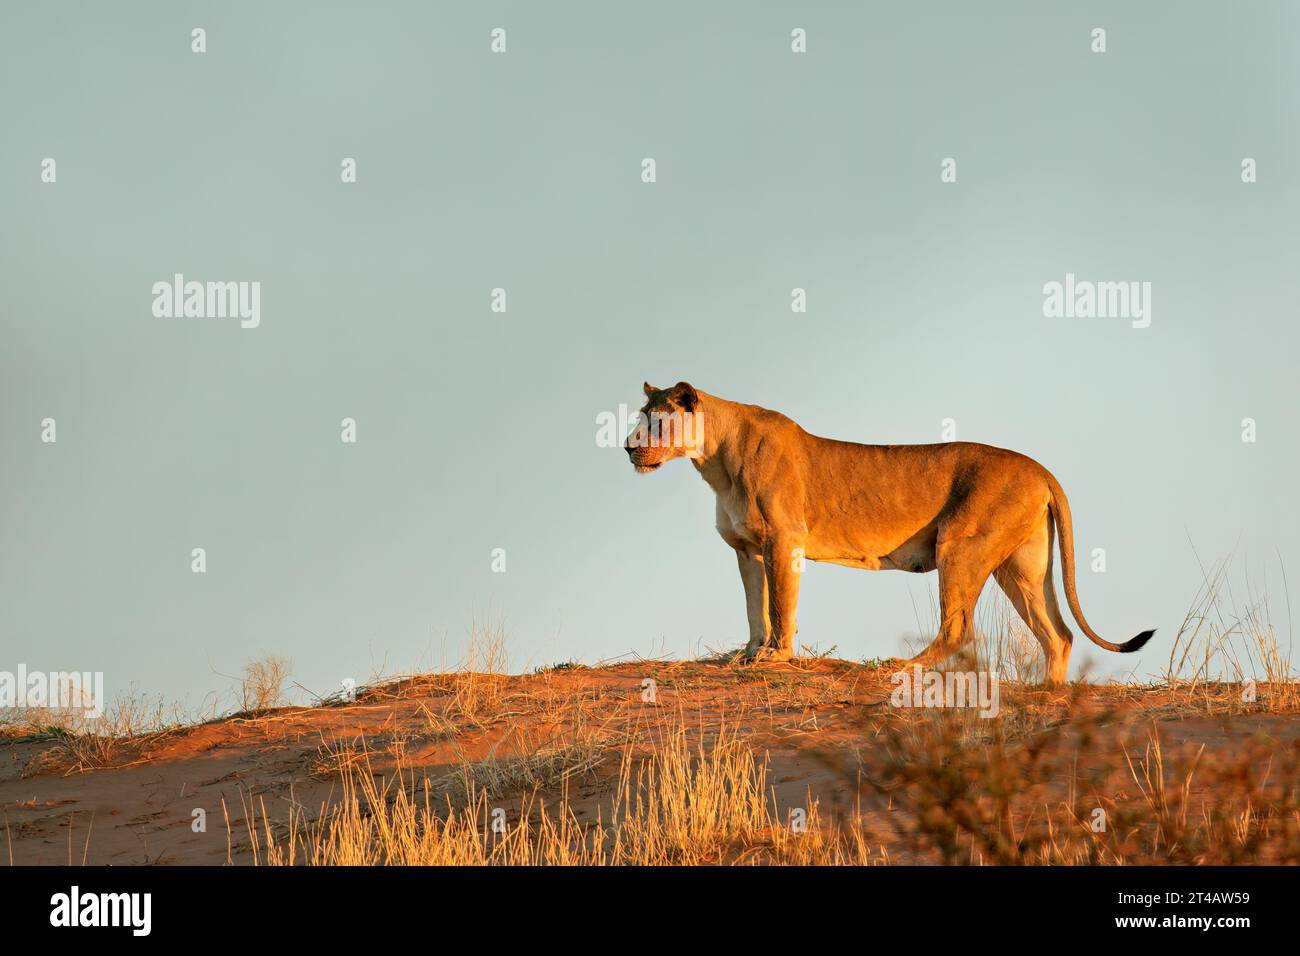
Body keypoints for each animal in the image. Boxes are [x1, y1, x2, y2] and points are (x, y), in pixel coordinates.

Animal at [625, 382, 1153, 685]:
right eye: (639, 418)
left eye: (657, 420)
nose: (628, 447)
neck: (713, 458)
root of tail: (1041, 469)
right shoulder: (746, 548)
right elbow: (756, 607)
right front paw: (749, 653)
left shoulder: (783, 540)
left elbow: (780, 605)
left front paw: (776, 657)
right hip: (1021, 566)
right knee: (1058, 634)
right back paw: (1050, 693)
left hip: (961, 546)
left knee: (960, 629)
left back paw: (901, 668)